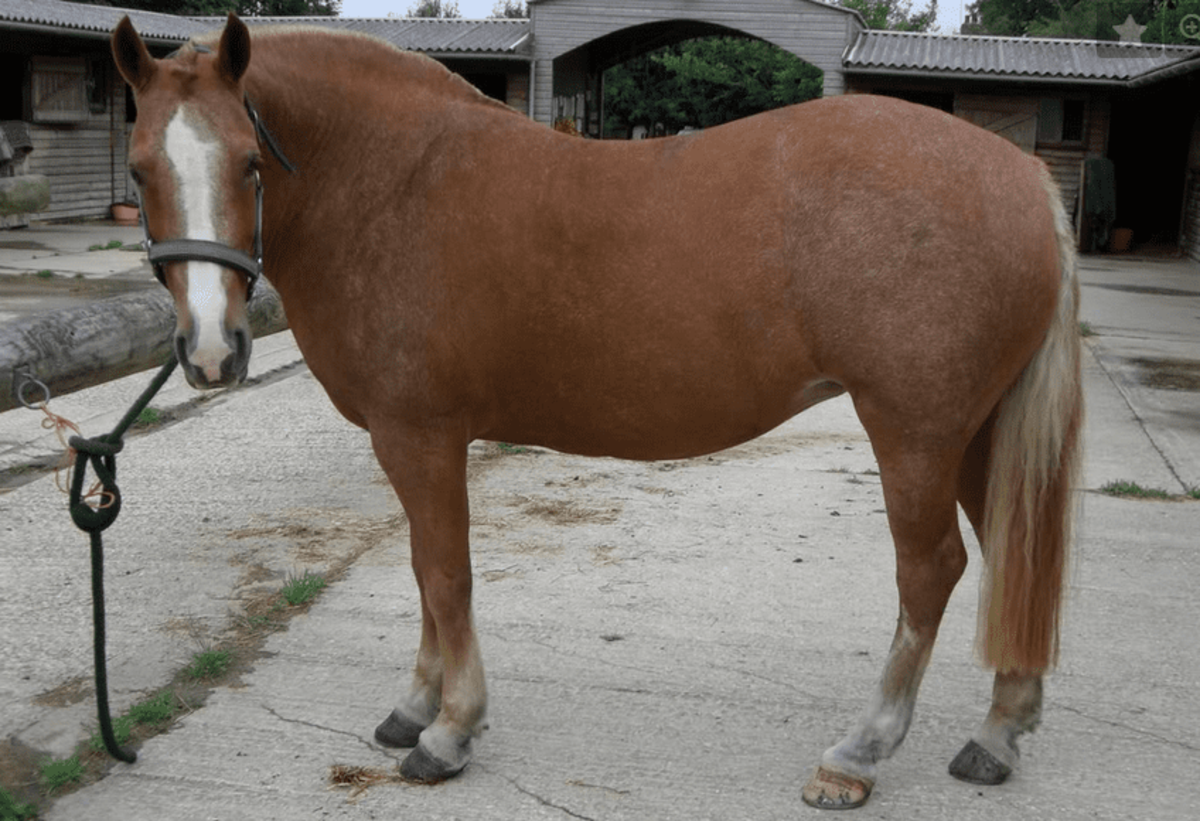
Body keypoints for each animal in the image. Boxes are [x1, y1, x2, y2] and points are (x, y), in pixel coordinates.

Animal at [111, 14, 1082, 810]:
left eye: (248, 161)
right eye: (139, 168)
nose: (211, 352)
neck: (397, 184)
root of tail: (1024, 175)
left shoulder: (421, 436)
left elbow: (445, 575)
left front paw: (448, 732)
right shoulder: (410, 442)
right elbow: (425, 576)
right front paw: (413, 707)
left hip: (913, 432)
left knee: (932, 571)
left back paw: (858, 754)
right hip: (974, 433)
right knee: (1006, 548)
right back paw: (998, 735)